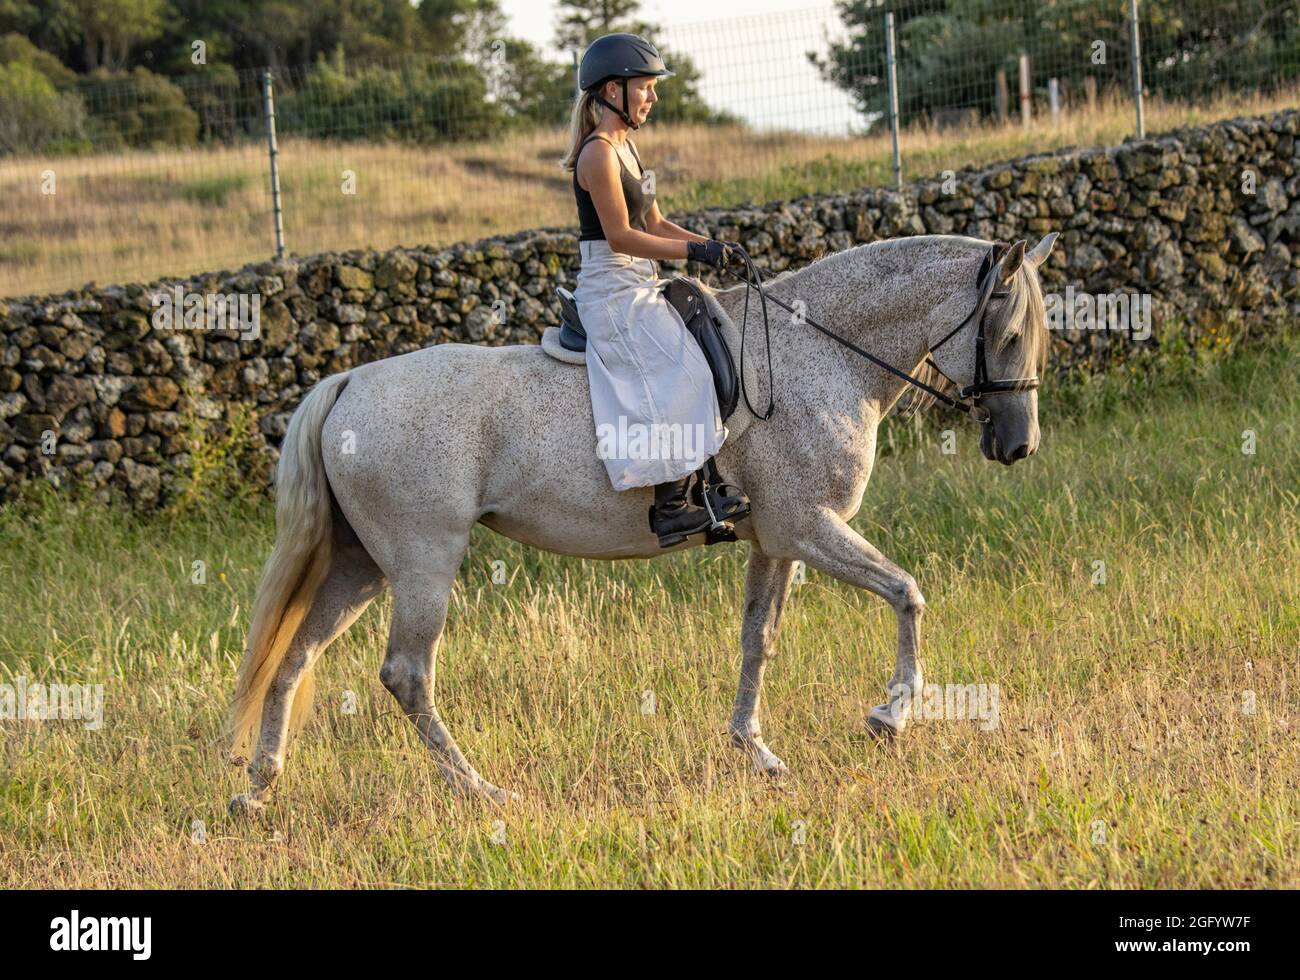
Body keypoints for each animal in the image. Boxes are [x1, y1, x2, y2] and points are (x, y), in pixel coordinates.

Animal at [227, 231, 1058, 812]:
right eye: (1010, 335)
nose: (1019, 446)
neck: (815, 355)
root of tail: (349, 381)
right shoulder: (810, 528)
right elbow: (907, 593)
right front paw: (891, 715)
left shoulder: (777, 541)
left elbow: (759, 640)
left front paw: (757, 754)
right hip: (424, 562)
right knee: (406, 673)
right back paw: (483, 791)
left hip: (361, 566)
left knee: (293, 657)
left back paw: (258, 787)